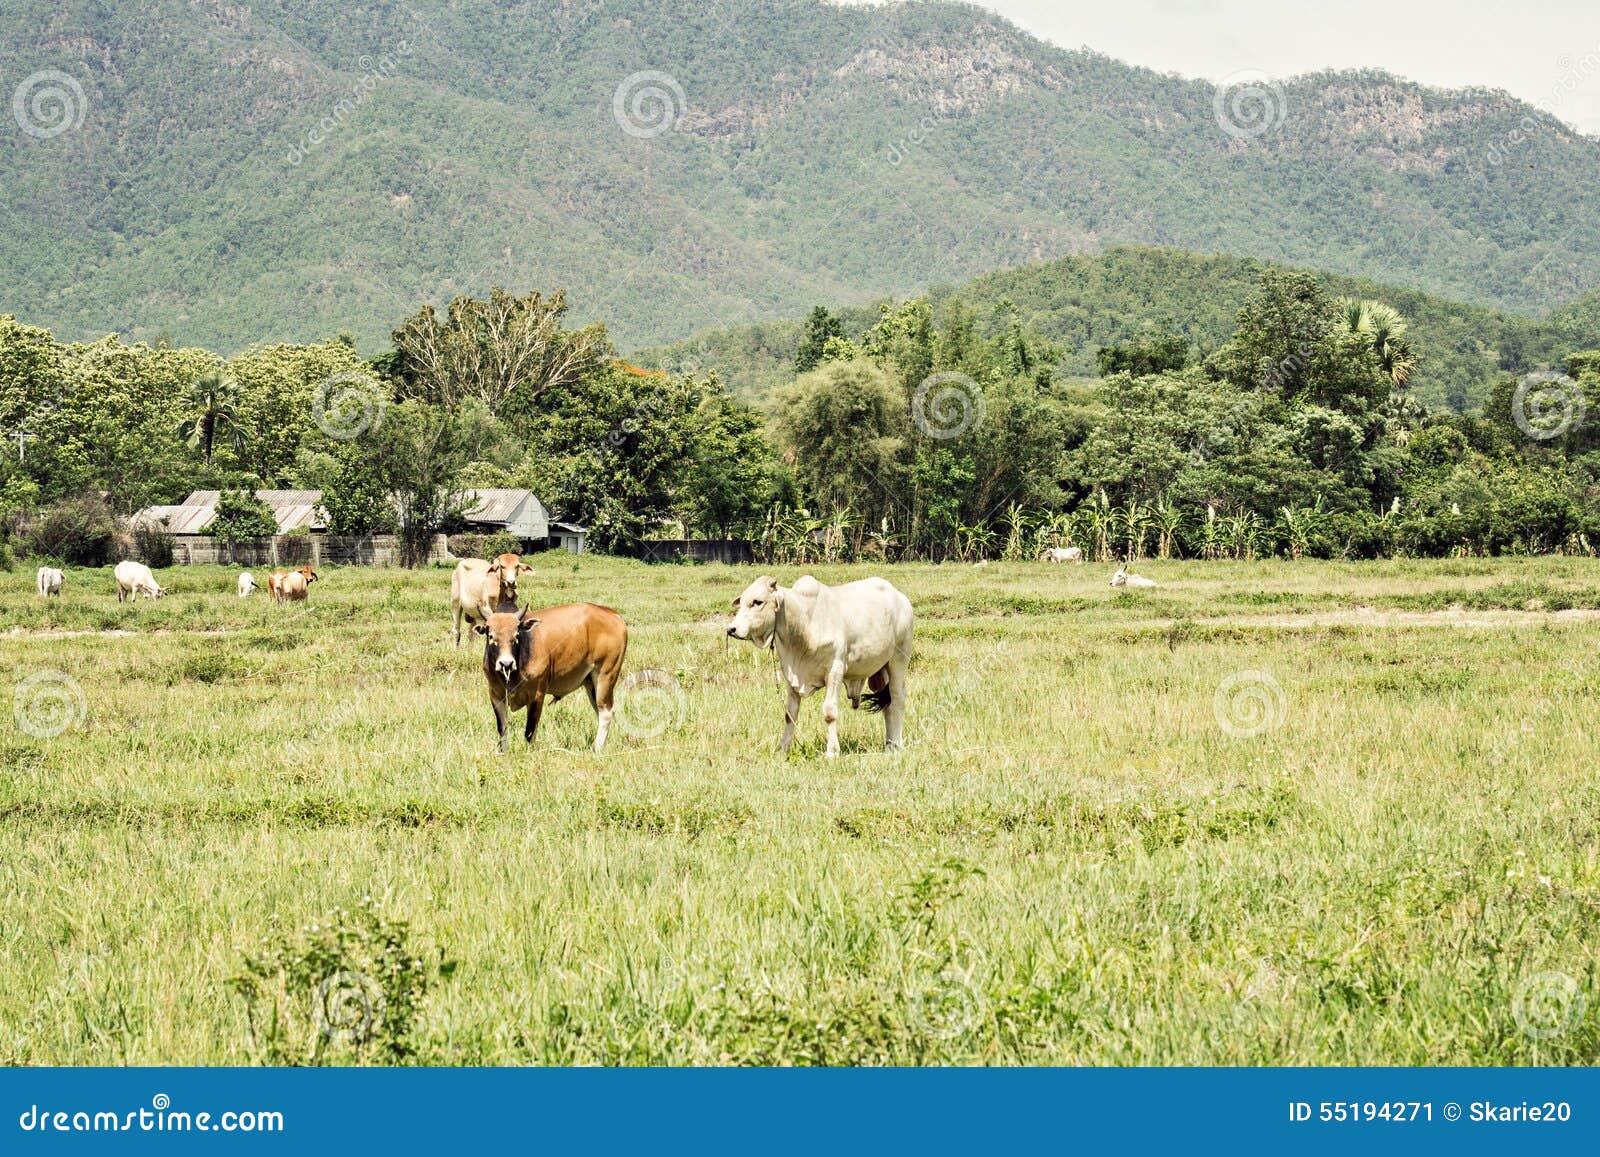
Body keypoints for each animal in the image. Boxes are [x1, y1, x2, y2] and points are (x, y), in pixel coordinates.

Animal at [475, 603, 628, 754]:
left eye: (516, 635)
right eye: (491, 635)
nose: (506, 663)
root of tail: (613, 614)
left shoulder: (537, 695)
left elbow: (530, 731)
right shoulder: (496, 695)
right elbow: (502, 729)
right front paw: (502, 753)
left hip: (606, 676)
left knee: (606, 712)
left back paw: (597, 748)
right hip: (590, 684)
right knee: (599, 712)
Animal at [727, 574, 913, 758]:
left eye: (757, 602)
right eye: (741, 602)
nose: (731, 629)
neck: (804, 623)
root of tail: (901, 598)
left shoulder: (835, 671)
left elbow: (830, 713)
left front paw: (832, 751)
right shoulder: (790, 676)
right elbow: (790, 714)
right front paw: (783, 749)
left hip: (899, 659)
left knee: (897, 699)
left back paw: (897, 744)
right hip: (881, 670)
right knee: (887, 705)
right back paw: (889, 743)